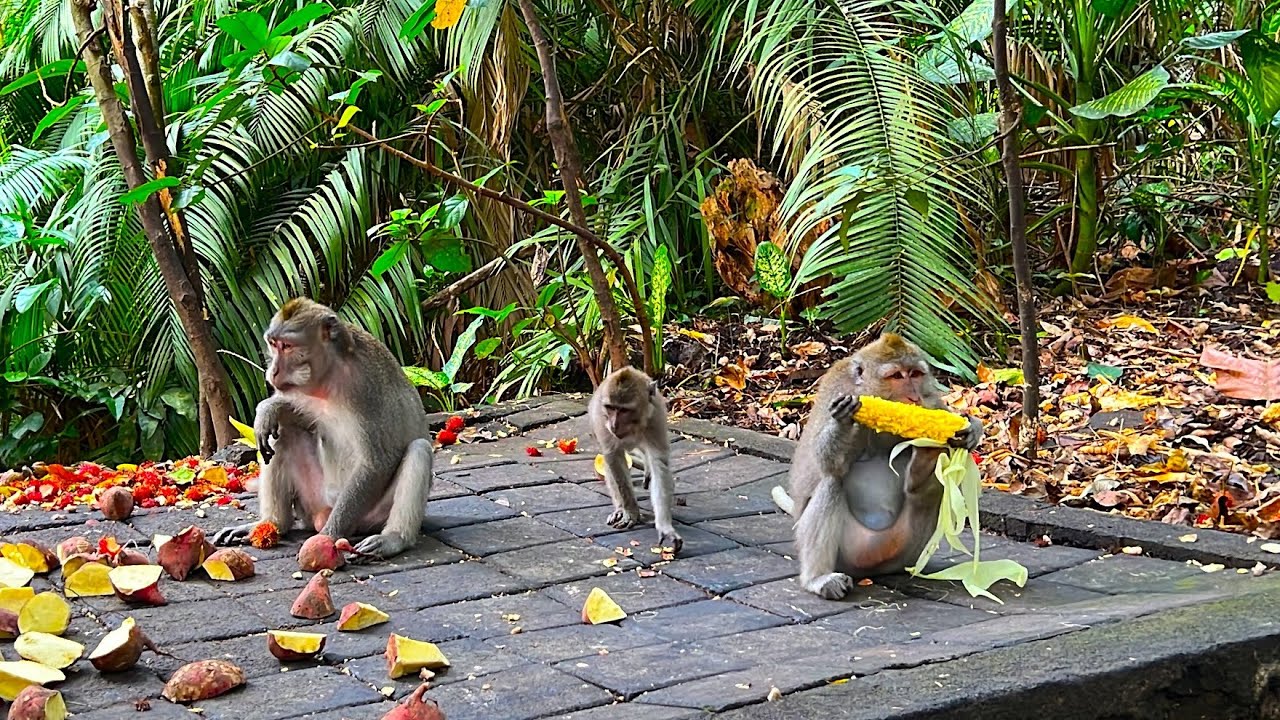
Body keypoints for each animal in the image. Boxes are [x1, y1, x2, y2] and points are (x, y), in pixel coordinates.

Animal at [212, 298, 434, 560]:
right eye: (273, 344)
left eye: (287, 346)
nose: (272, 371)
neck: (331, 375)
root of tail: (321, 514)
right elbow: (300, 419)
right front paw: (268, 409)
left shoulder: (367, 387)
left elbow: (377, 462)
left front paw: (329, 535)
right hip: (311, 502)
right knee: (282, 434)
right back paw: (272, 524)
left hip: (371, 515)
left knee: (419, 449)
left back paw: (393, 539)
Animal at [588, 367, 683, 553]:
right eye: (610, 408)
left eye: (624, 410)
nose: (614, 425)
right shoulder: (602, 422)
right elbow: (614, 458)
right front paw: (630, 512)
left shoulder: (655, 419)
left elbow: (659, 464)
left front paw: (665, 527)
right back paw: (620, 508)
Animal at [781, 332, 983, 600]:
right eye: (896, 376)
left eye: (915, 374)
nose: (913, 397)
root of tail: (873, 570)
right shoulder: (836, 391)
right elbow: (827, 464)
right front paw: (843, 421)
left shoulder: (932, 403)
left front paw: (972, 429)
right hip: (849, 555)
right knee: (832, 484)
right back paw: (819, 579)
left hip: (905, 554)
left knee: (931, 493)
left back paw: (925, 461)